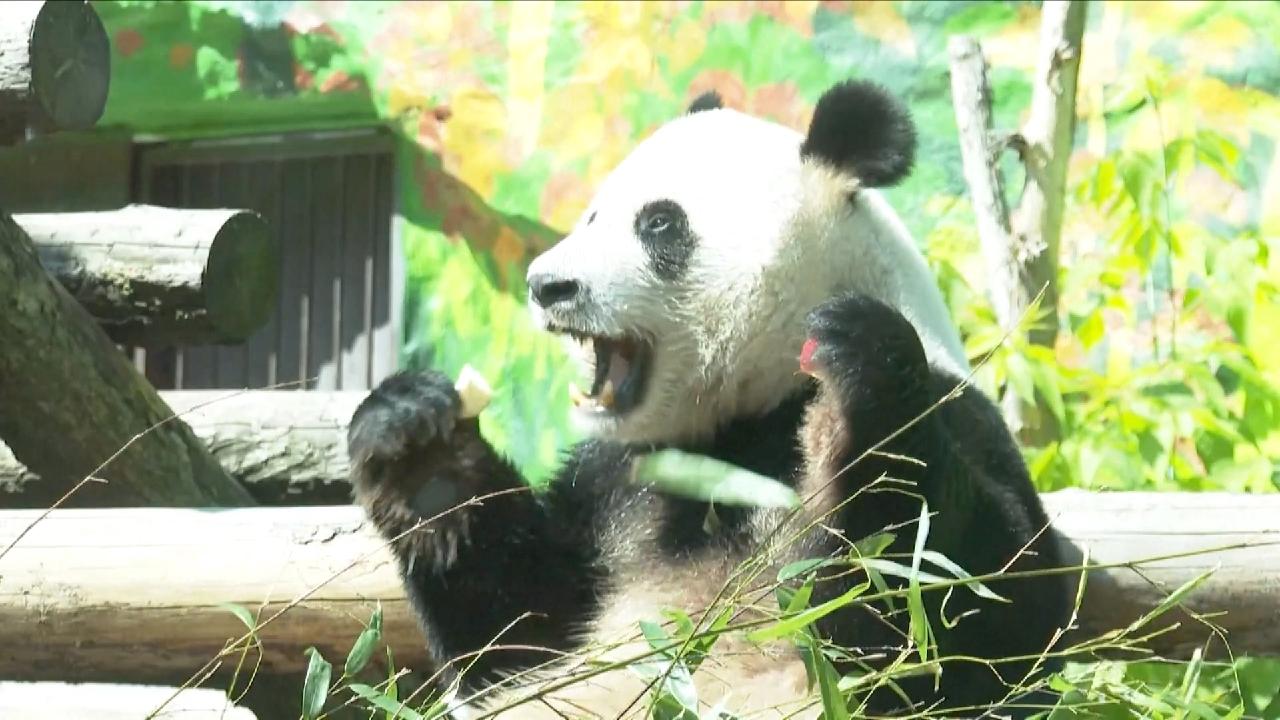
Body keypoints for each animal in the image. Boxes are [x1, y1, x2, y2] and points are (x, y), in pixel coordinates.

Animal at [348, 80, 1071, 719]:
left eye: (659, 223)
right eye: (592, 215)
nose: (547, 284)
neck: (741, 419)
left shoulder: (958, 411)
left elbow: (984, 617)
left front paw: (859, 386)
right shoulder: (616, 485)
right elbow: (516, 635)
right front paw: (419, 445)